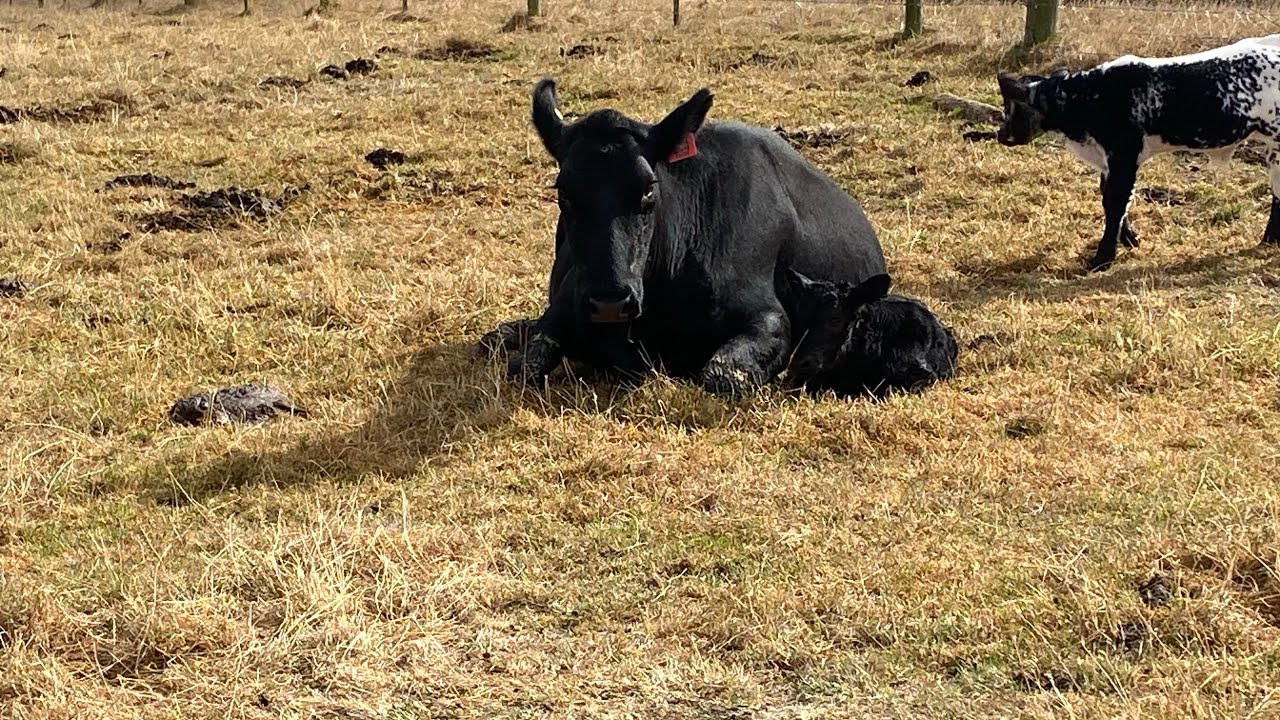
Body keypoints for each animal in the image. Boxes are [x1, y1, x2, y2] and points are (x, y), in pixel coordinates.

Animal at [504, 78, 890, 396]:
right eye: (564, 193)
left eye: (648, 191)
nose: (609, 301)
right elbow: (526, 364)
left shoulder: (769, 317)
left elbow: (720, 375)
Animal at [995, 34, 1280, 271]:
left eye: (1013, 107)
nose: (1001, 135)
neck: (1088, 97)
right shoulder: (1110, 160)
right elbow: (1110, 197)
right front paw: (1130, 239)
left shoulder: (1123, 155)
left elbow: (1115, 201)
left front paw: (1102, 259)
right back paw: (1269, 241)